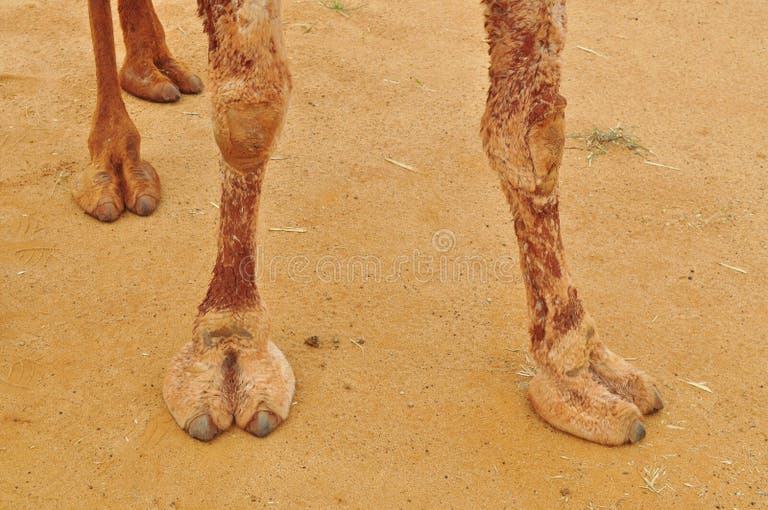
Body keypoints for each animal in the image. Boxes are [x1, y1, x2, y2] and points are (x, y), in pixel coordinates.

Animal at [74, 0, 663, 445]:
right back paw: (114, 160)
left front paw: (576, 371)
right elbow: (250, 111)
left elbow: (532, 127)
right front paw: (229, 344)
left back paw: (152, 67)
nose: (574, 368)